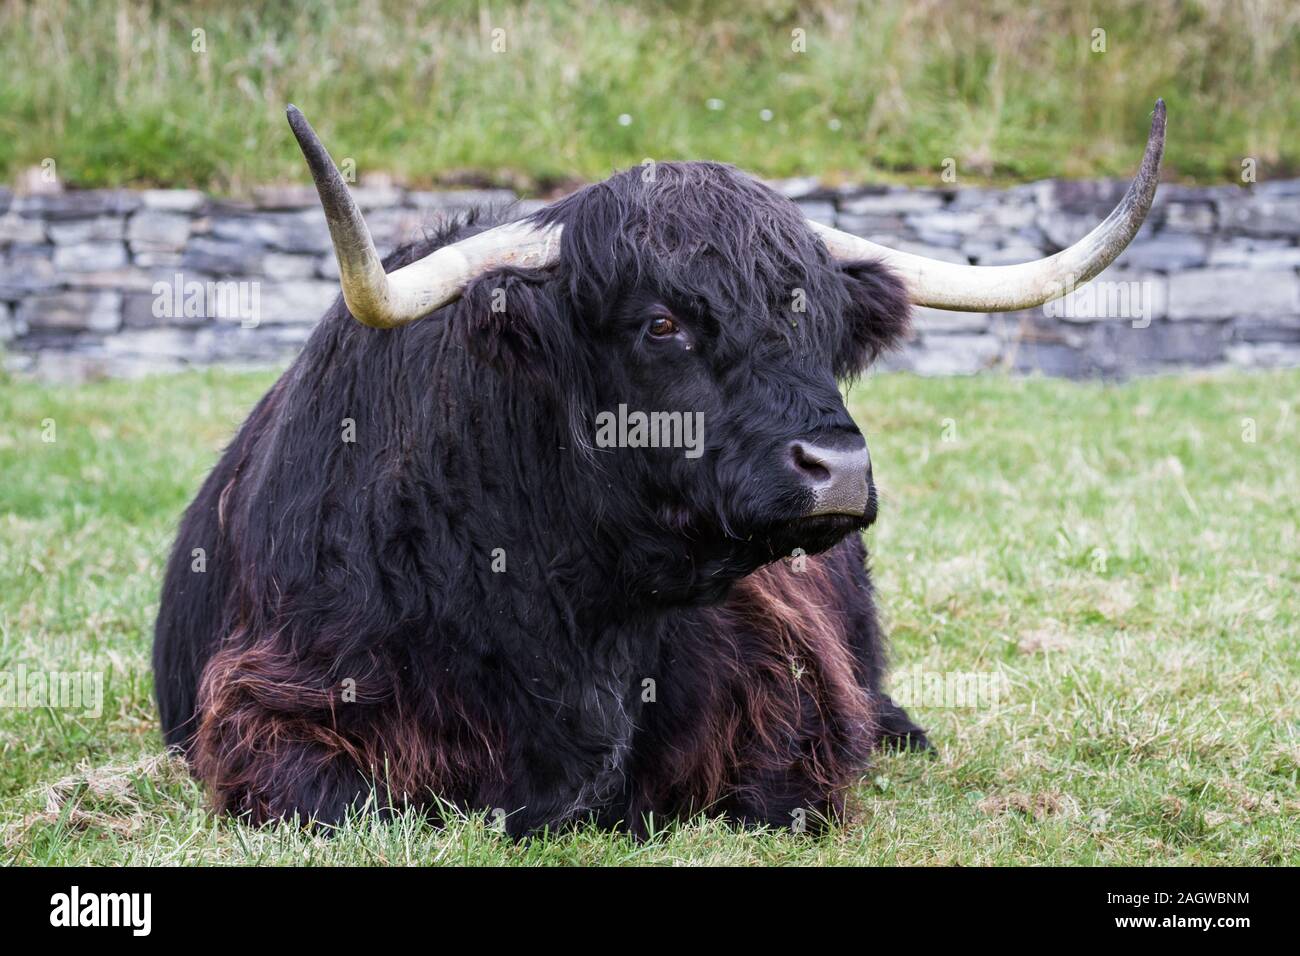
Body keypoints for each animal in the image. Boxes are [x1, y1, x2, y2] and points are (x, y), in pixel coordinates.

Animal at [153, 101, 1165, 835]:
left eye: (820, 321)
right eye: (661, 322)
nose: (837, 466)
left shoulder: (792, 695)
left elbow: (780, 796)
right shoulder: (275, 706)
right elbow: (338, 801)